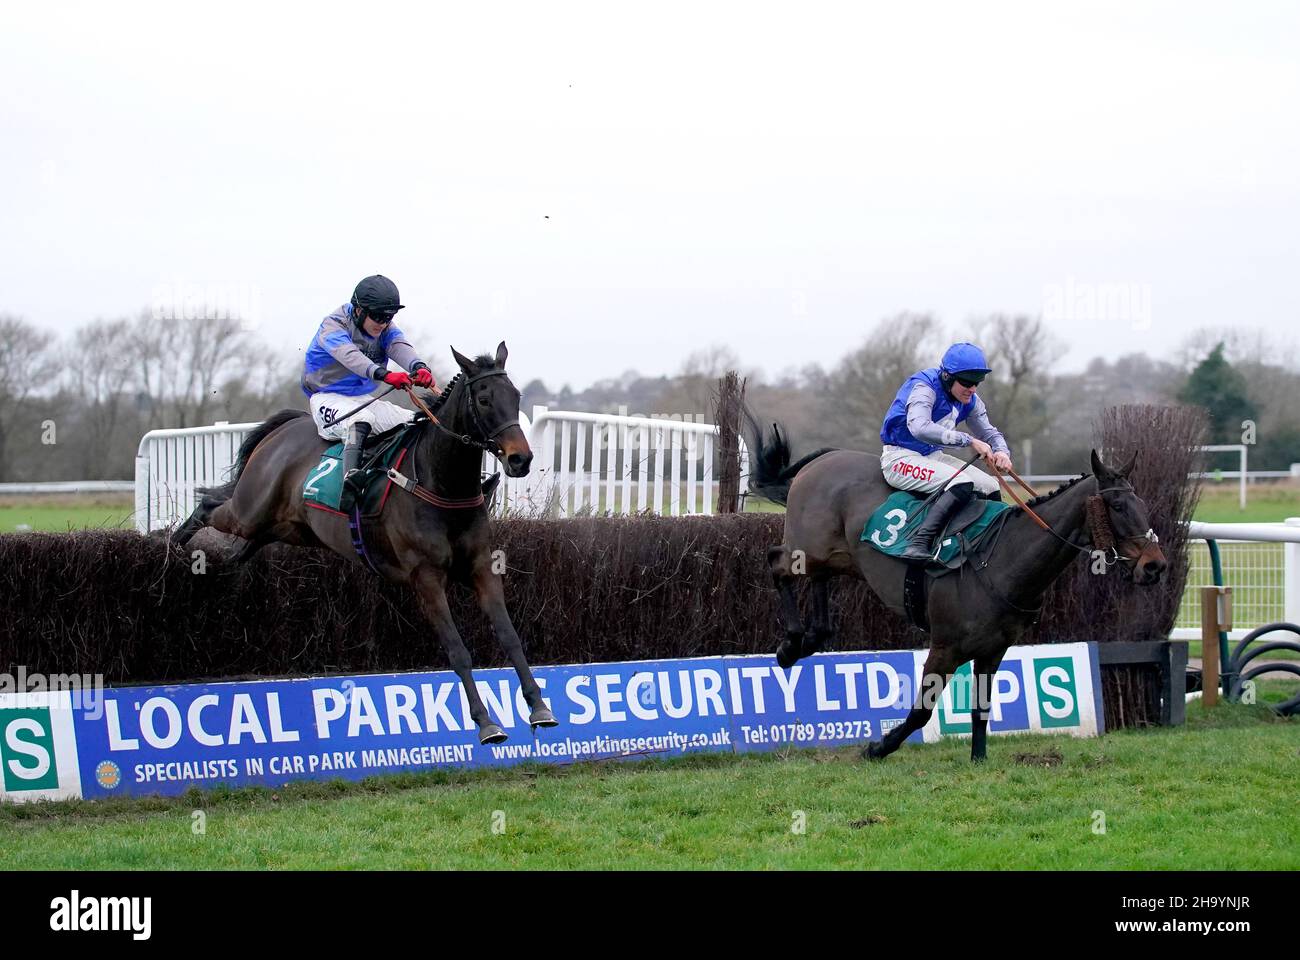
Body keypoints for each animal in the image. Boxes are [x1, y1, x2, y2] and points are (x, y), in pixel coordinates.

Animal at [173, 342, 556, 745]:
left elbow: (510, 636)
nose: (521, 458)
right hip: (251, 510)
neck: (440, 484)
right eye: (483, 399)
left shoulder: (481, 567)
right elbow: (457, 650)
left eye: (516, 396)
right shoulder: (426, 578)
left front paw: (539, 707)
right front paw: (486, 722)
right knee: (209, 504)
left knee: (236, 541)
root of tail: (286, 429)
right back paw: (175, 547)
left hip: (285, 528)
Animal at [744, 417, 1167, 762]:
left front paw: (978, 758)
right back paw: (790, 644)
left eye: (1142, 503)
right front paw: (878, 747)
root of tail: (822, 460)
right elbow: (922, 710)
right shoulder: (945, 648)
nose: (1155, 566)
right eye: (1117, 506)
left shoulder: (993, 651)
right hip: (806, 548)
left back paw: (813, 637)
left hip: (838, 556)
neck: (1002, 560)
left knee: (818, 579)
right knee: (776, 562)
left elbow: (981, 709)